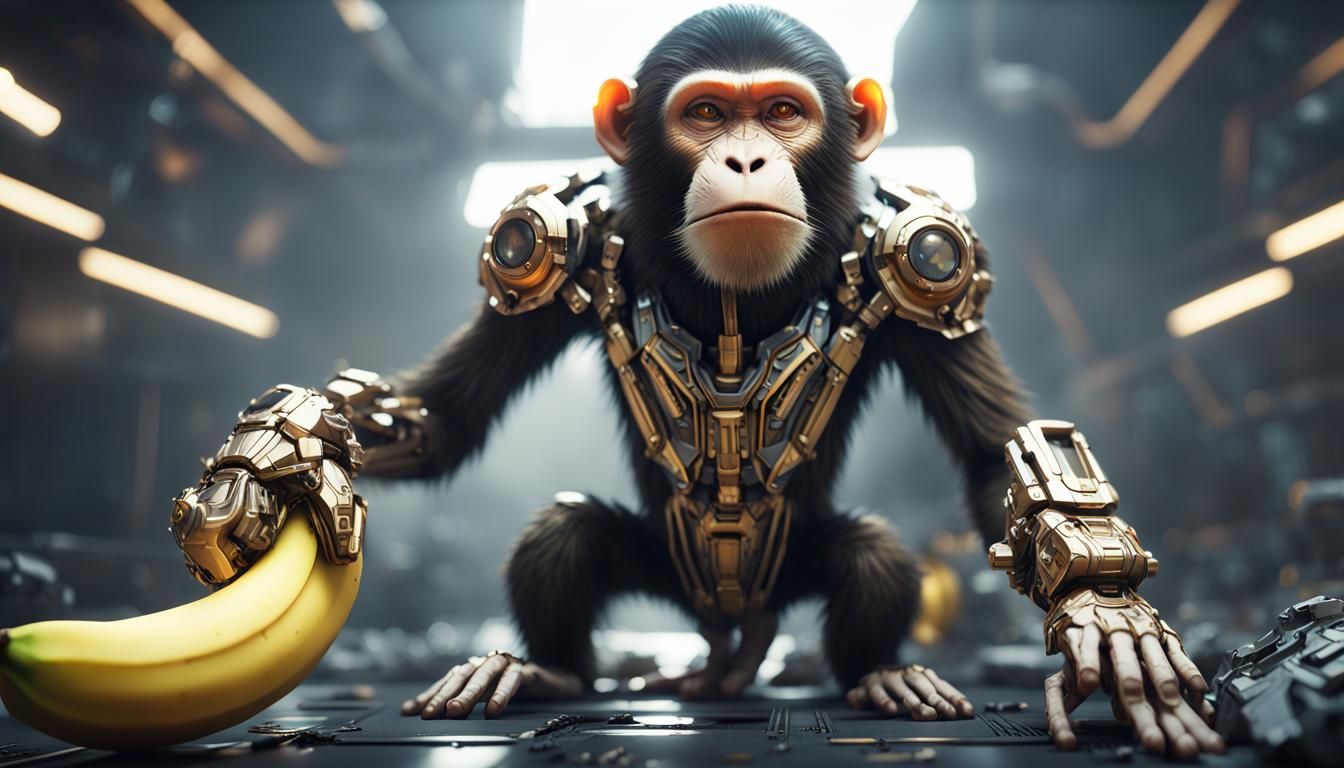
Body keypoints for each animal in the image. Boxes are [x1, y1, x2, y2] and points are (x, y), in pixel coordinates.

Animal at [173, 6, 1224, 758]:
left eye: (785, 113)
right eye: (707, 113)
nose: (748, 155)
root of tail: (726, 627)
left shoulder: (928, 259)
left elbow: (996, 456)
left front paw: (1108, 615)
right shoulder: (536, 245)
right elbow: (441, 419)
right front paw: (264, 466)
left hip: (786, 576)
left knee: (874, 554)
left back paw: (880, 676)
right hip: (663, 574)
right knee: (562, 536)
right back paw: (552, 674)